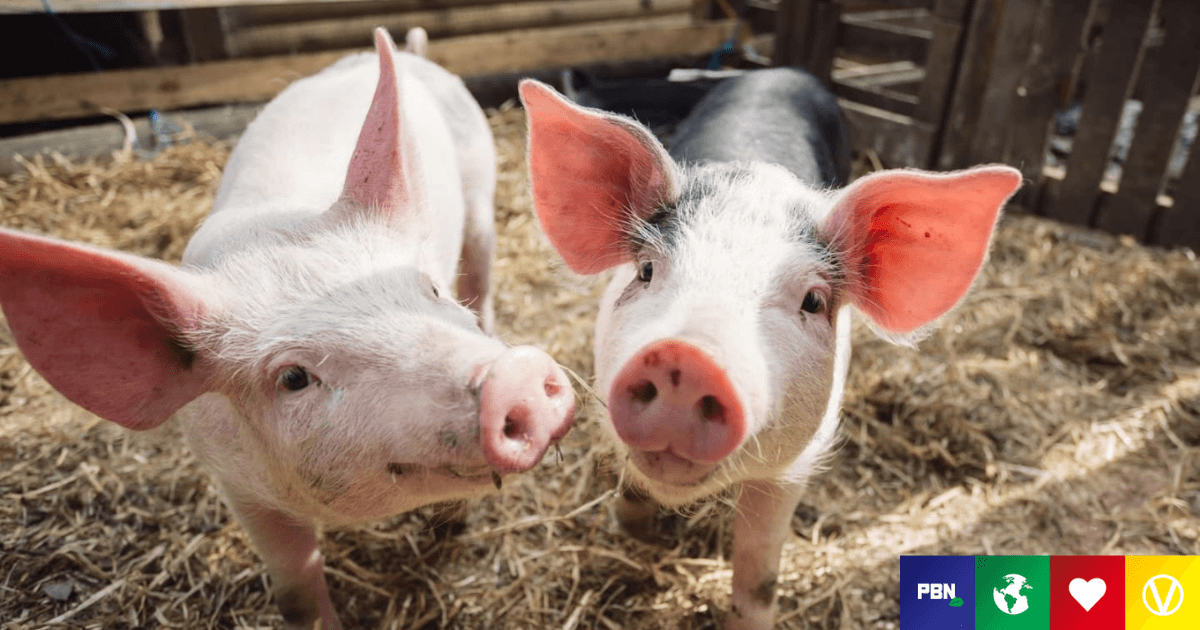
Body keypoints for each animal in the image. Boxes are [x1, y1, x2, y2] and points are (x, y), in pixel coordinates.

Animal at [0, 28, 575, 630]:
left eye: (431, 291)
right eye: (294, 378)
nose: (515, 374)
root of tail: (414, 55)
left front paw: (454, 529)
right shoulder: (236, 484)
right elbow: (295, 585)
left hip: (481, 196)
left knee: (483, 277)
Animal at [519, 67, 1021, 629]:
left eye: (813, 300)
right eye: (646, 269)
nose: (686, 358)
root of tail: (779, 71)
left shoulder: (793, 466)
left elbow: (759, 571)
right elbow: (631, 487)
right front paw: (632, 538)